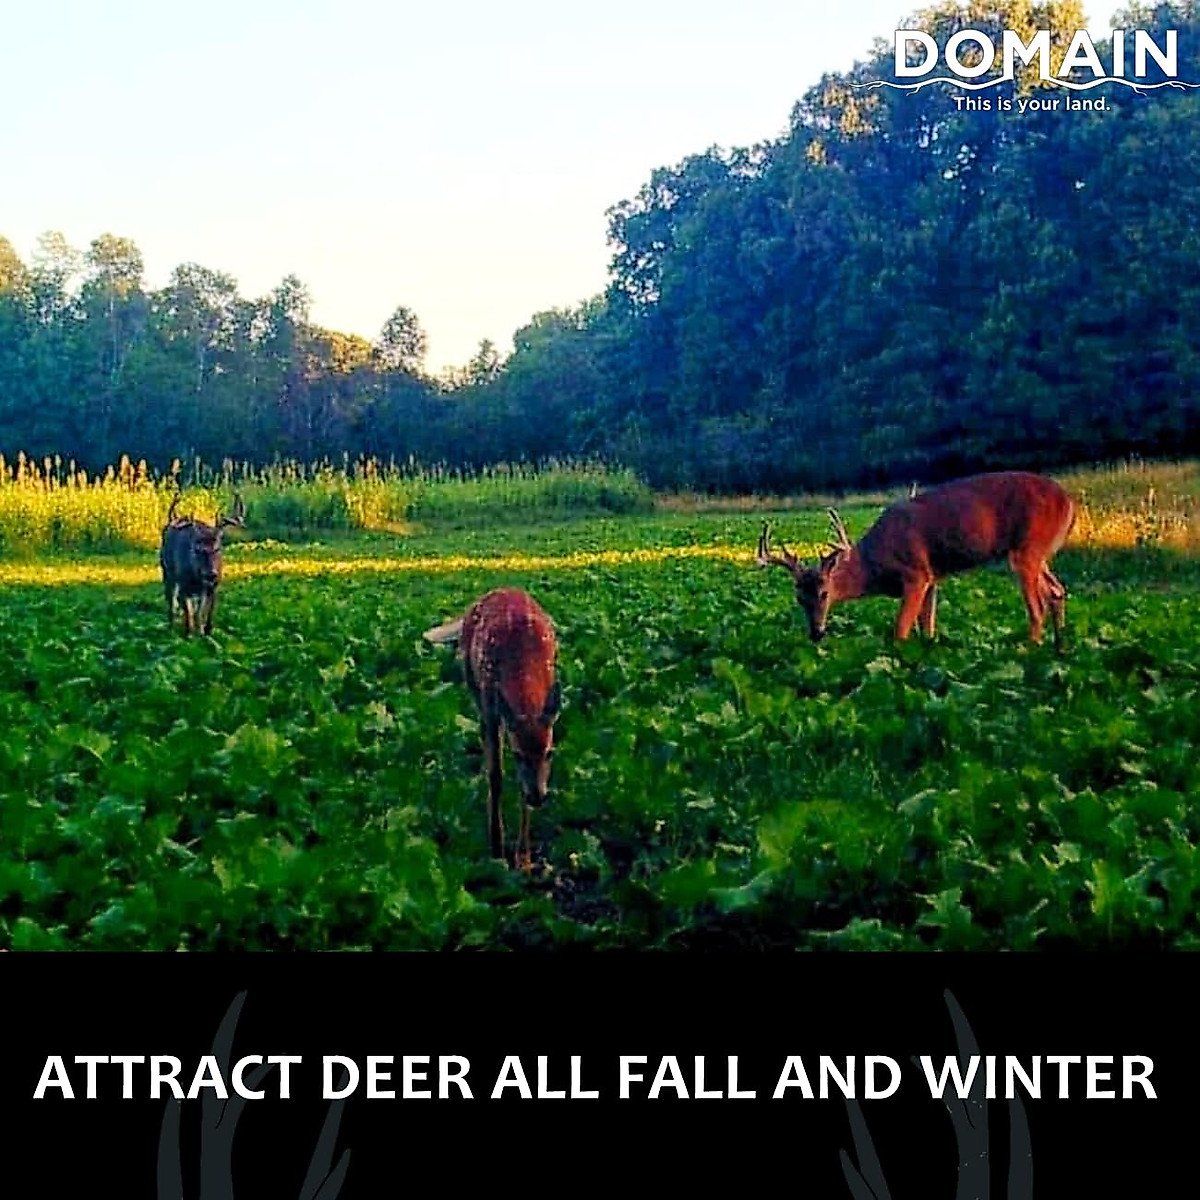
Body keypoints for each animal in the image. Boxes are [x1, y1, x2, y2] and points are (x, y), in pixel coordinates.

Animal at [159, 490, 246, 636]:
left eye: (217, 548)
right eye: (197, 549)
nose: (210, 574)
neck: (197, 577)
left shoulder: (214, 585)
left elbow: (206, 610)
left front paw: (205, 630)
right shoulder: (183, 583)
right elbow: (188, 611)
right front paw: (189, 633)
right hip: (166, 571)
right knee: (171, 598)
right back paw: (171, 623)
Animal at [424, 587, 562, 872]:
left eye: (549, 752)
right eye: (518, 755)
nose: (538, 797)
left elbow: (518, 785)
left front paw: (524, 858)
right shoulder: (490, 708)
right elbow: (496, 776)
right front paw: (497, 850)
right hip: (472, 683)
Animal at [756, 471, 1076, 648]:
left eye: (824, 593)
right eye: (799, 598)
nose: (816, 633)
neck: (874, 566)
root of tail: (1069, 502)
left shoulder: (915, 575)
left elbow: (900, 630)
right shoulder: (932, 578)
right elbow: (927, 628)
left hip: (1026, 550)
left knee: (1037, 607)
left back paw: (1030, 650)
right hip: (1038, 554)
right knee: (1057, 591)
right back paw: (1060, 648)